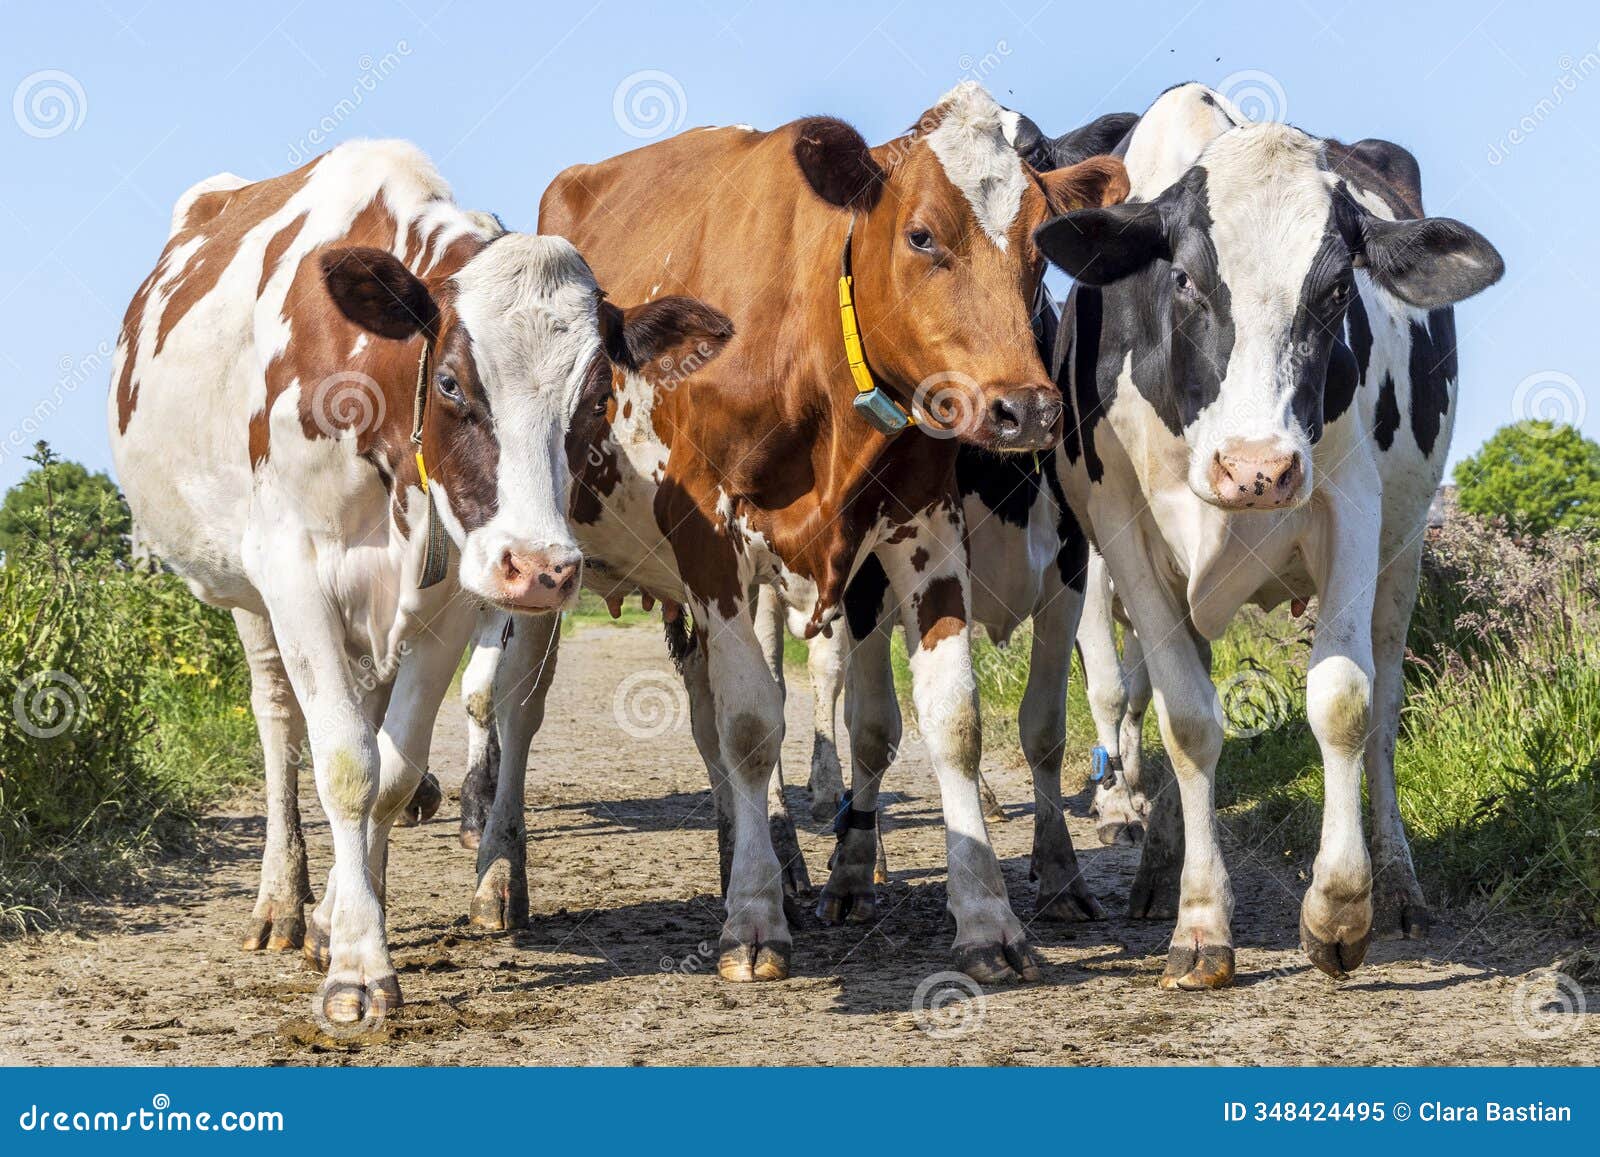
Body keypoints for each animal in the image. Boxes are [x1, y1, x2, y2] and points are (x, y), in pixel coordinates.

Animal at [108, 139, 730, 1022]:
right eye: (451, 384)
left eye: (598, 396)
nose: (541, 567)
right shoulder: (292, 572)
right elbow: (342, 764)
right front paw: (356, 969)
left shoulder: (449, 598)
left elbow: (391, 774)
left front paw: (352, 923)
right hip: (247, 590)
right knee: (278, 721)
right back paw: (283, 901)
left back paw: (336, 902)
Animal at [461, 82, 1130, 984]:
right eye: (921, 234)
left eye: (1037, 242)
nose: (1023, 408)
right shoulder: (712, 542)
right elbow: (753, 728)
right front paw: (752, 920)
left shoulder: (925, 534)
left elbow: (950, 721)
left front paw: (987, 918)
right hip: (544, 572)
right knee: (521, 706)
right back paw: (501, 873)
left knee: (703, 715)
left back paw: (761, 852)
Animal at [1031, 83, 1503, 988]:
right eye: (1182, 278)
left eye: (1337, 291)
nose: (1257, 468)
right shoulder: (1120, 535)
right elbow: (1184, 718)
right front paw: (1200, 920)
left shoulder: (1350, 503)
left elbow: (1345, 701)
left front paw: (1339, 908)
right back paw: (1159, 867)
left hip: (1403, 545)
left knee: (1385, 711)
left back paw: (1399, 886)